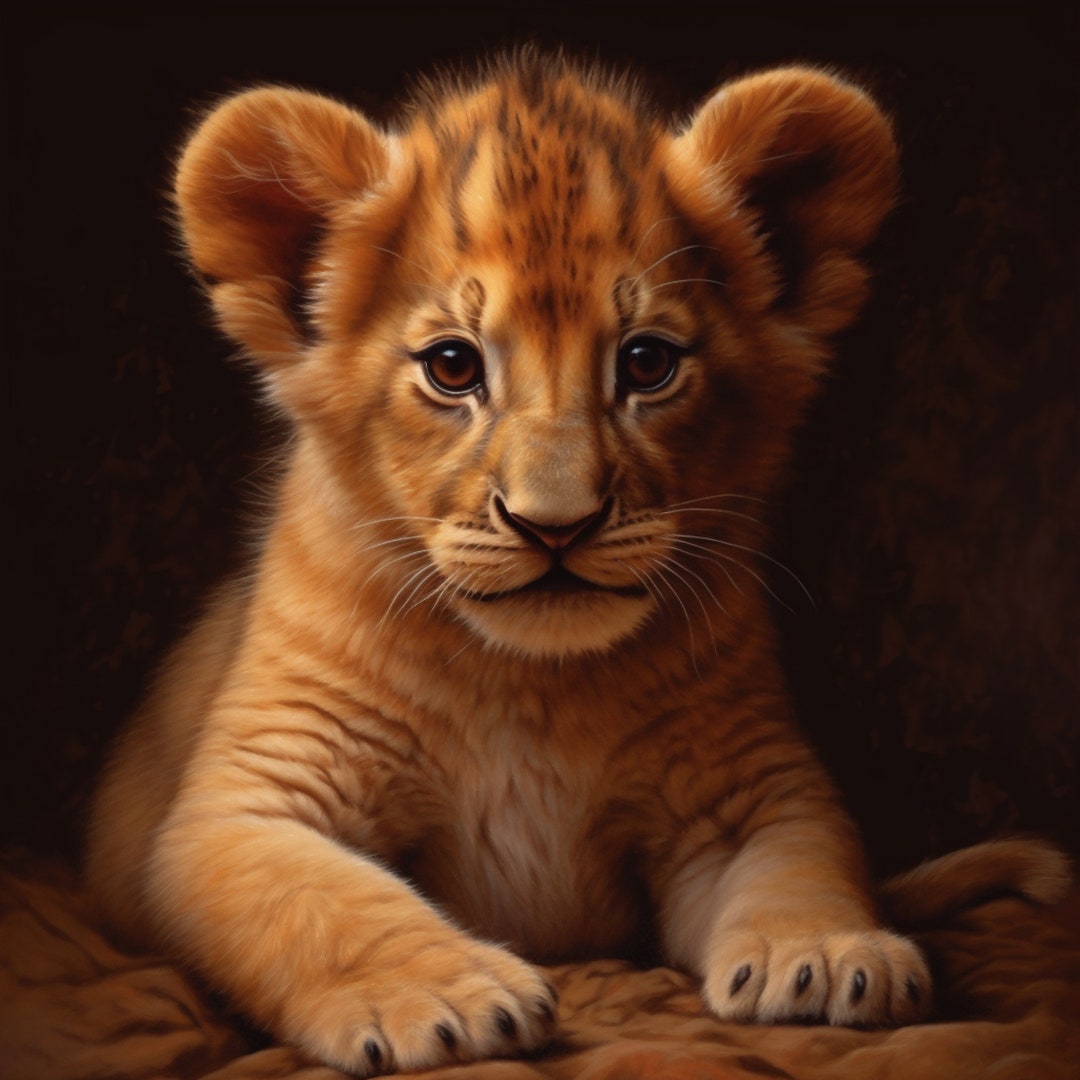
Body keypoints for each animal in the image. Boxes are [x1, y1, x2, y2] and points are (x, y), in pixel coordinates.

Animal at [84, 50, 1070, 1076]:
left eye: (646, 363)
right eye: (452, 367)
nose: (554, 525)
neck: (530, 682)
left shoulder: (747, 795)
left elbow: (803, 868)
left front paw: (831, 956)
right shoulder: (247, 804)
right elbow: (328, 905)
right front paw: (450, 999)